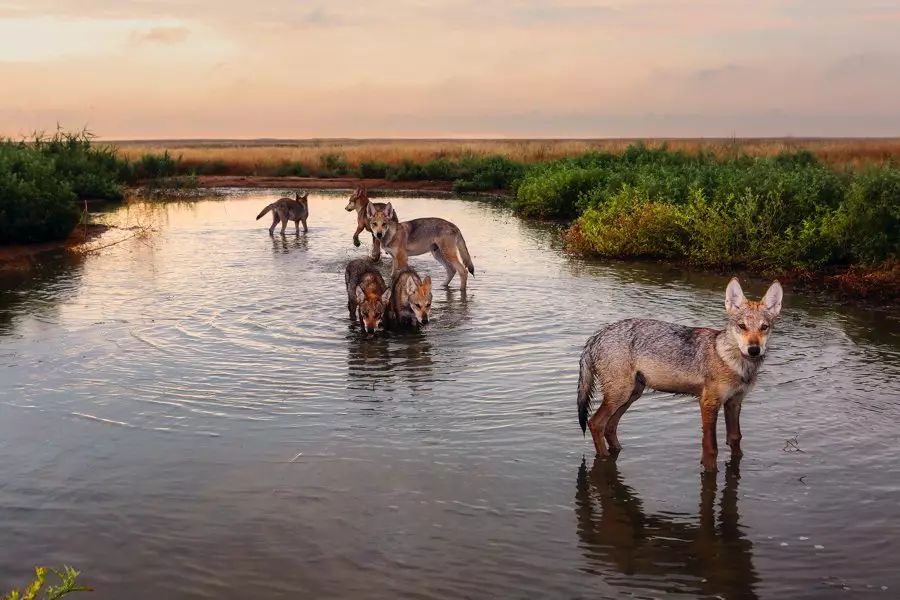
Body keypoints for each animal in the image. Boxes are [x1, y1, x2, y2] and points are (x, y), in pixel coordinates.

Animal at [576, 278, 780, 474]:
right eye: (742, 326)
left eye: (764, 327)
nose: (754, 350)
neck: (733, 361)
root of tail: (596, 336)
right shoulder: (708, 403)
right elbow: (711, 449)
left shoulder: (734, 403)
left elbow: (735, 438)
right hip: (620, 395)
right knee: (595, 423)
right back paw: (604, 460)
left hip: (631, 395)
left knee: (610, 427)